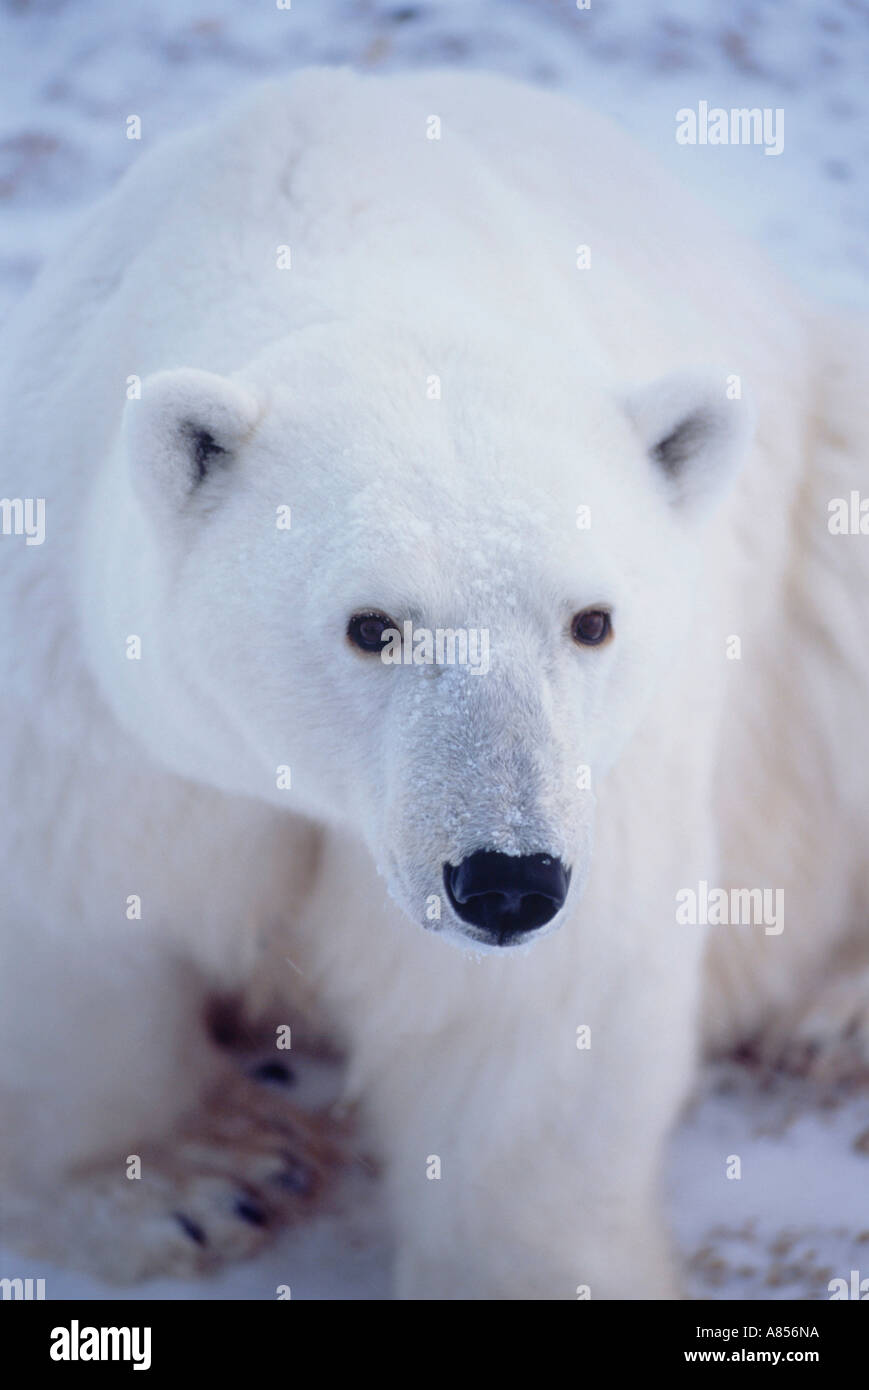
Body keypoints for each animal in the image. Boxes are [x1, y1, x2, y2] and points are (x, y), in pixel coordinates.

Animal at [1, 65, 868, 1300]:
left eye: (591, 620)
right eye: (372, 627)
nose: (505, 880)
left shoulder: (610, 770)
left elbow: (531, 1019)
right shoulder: (88, 693)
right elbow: (69, 915)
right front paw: (195, 1184)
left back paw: (834, 1013)